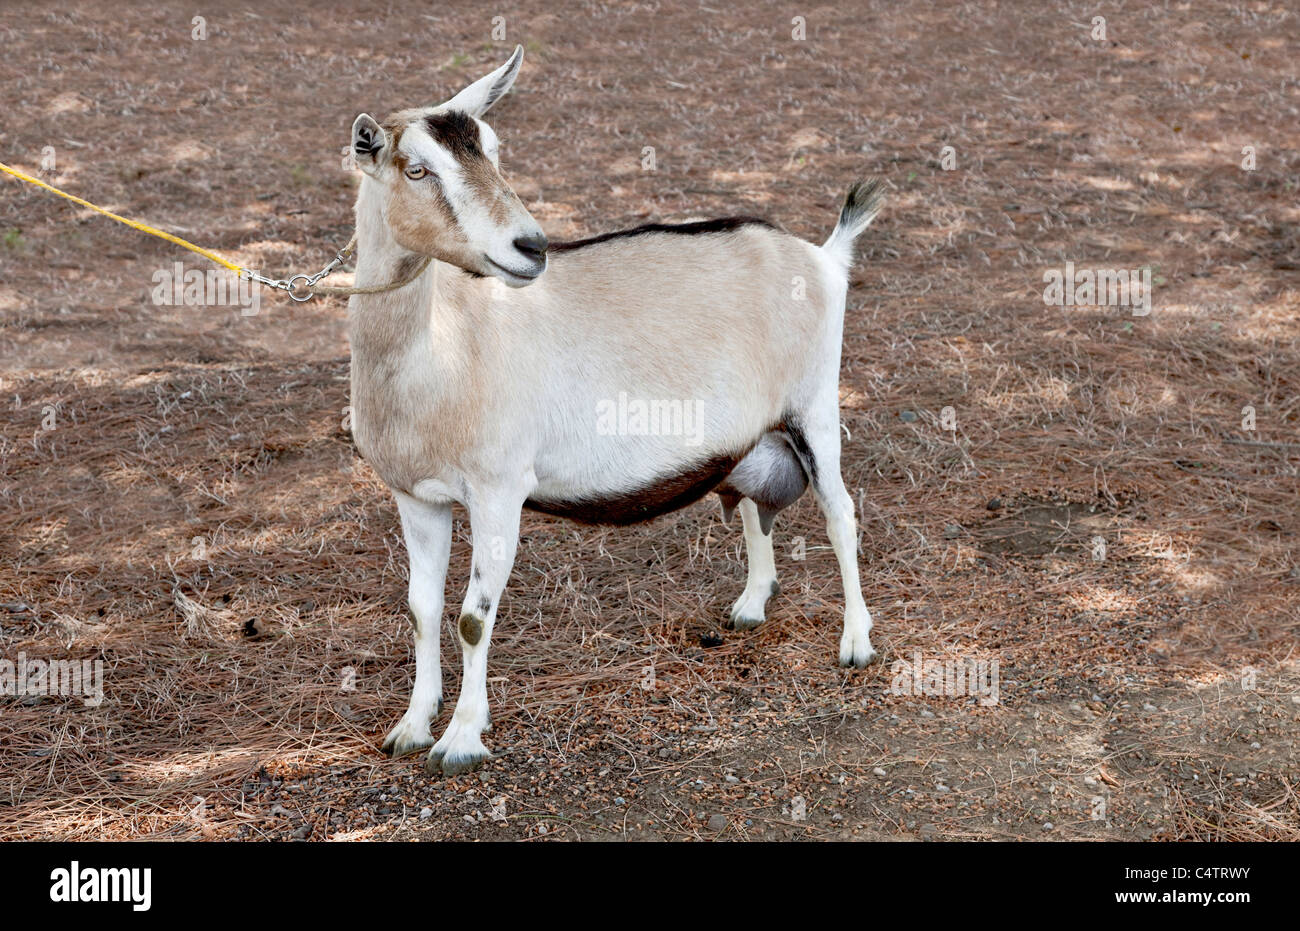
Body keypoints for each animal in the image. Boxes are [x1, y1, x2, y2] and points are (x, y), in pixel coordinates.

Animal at [347, 46, 882, 774]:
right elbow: (422, 609)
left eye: (494, 148)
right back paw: (750, 604)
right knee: (752, 503)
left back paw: (856, 642)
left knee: (840, 511)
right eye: (416, 168)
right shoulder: (416, 495)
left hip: (815, 407)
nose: (530, 247)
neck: (442, 347)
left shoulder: (499, 489)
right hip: (756, 431)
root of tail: (822, 256)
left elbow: (472, 617)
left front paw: (462, 738)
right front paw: (410, 726)